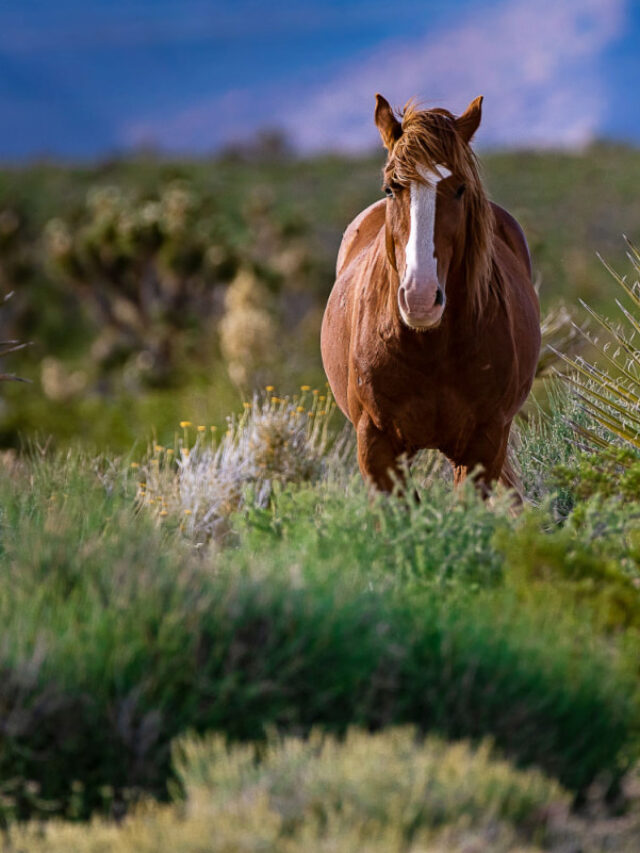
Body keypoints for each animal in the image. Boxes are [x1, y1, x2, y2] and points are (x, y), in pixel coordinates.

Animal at [321, 94, 540, 495]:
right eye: (391, 187)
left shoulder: (483, 445)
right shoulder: (377, 447)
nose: (420, 298)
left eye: (459, 188)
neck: (431, 349)